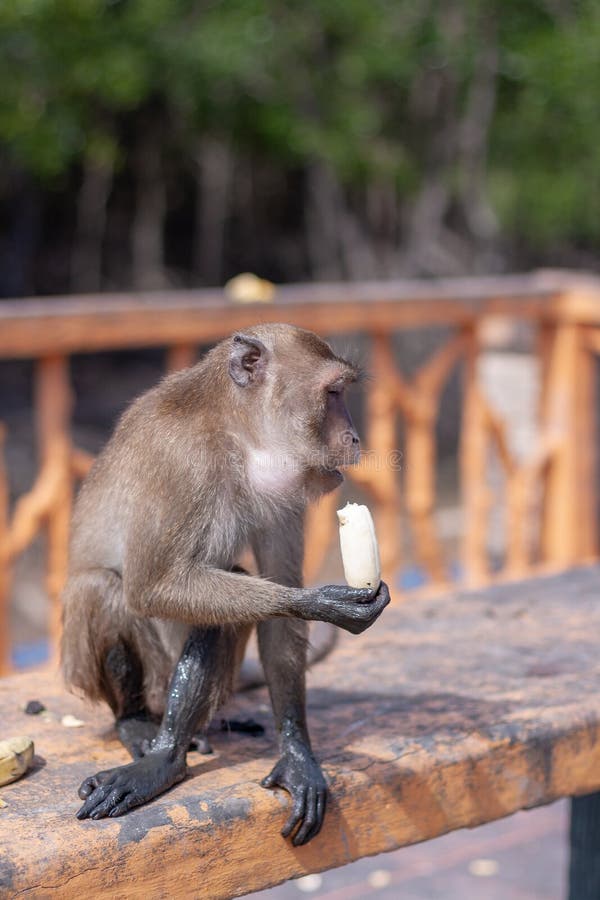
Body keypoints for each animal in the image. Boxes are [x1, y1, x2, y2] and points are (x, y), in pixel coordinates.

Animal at [61, 323, 391, 846]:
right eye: (334, 393)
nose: (356, 437)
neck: (235, 435)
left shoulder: (287, 485)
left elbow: (280, 611)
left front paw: (297, 755)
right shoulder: (179, 458)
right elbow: (151, 586)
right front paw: (323, 603)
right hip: (150, 676)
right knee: (103, 589)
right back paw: (156, 746)